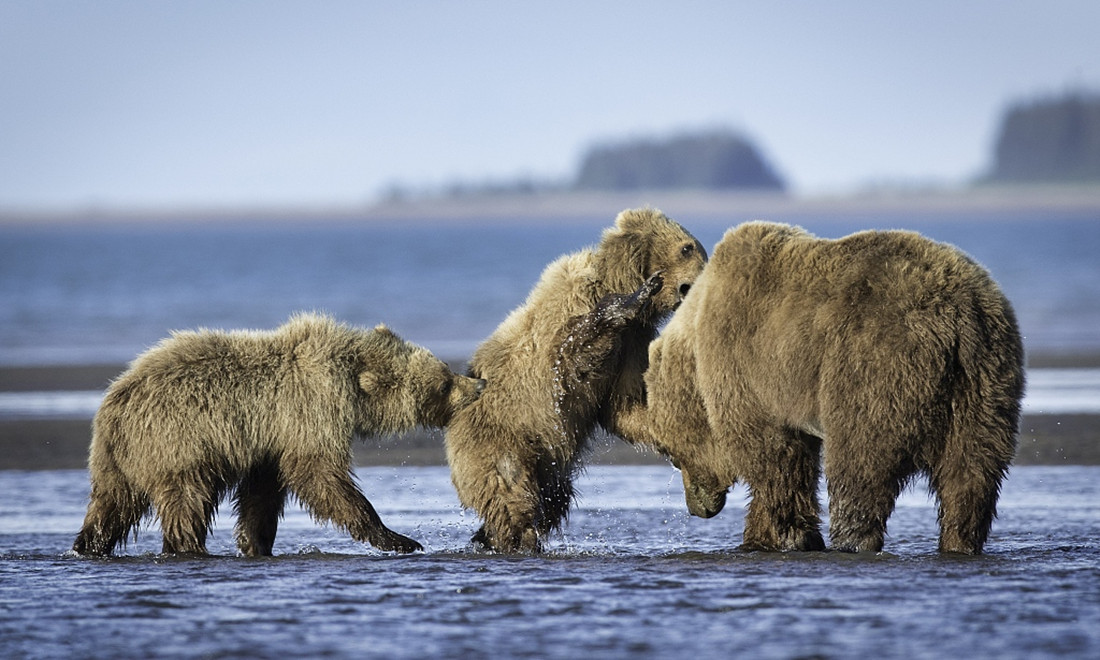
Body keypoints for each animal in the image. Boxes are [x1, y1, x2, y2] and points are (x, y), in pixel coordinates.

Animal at [72, 312, 485, 557]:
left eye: (446, 370)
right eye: (443, 382)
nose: (478, 384)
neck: (349, 383)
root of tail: (115, 400)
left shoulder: (271, 437)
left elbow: (262, 494)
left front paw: (255, 542)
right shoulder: (307, 413)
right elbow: (321, 477)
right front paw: (398, 538)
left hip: (117, 457)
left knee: (112, 504)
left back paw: (89, 546)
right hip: (177, 440)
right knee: (186, 500)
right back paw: (187, 547)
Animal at [444, 208, 707, 552]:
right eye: (687, 248)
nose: (705, 276)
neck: (617, 278)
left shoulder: (634, 342)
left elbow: (623, 405)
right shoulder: (570, 315)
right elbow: (574, 357)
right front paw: (631, 299)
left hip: (547, 464)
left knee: (554, 498)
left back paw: (489, 536)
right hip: (501, 440)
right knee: (513, 493)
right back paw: (515, 538)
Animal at [627, 221, 1024, 554]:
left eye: (668, 453)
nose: (699, 508)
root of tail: (957, 316)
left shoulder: (745, 366)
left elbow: (773, 455)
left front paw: (793, 535)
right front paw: (760, 536)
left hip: (873, 362)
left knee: (860, 459)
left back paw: (851, 540)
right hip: (985, 381)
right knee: (971, 470)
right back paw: (960, 541)